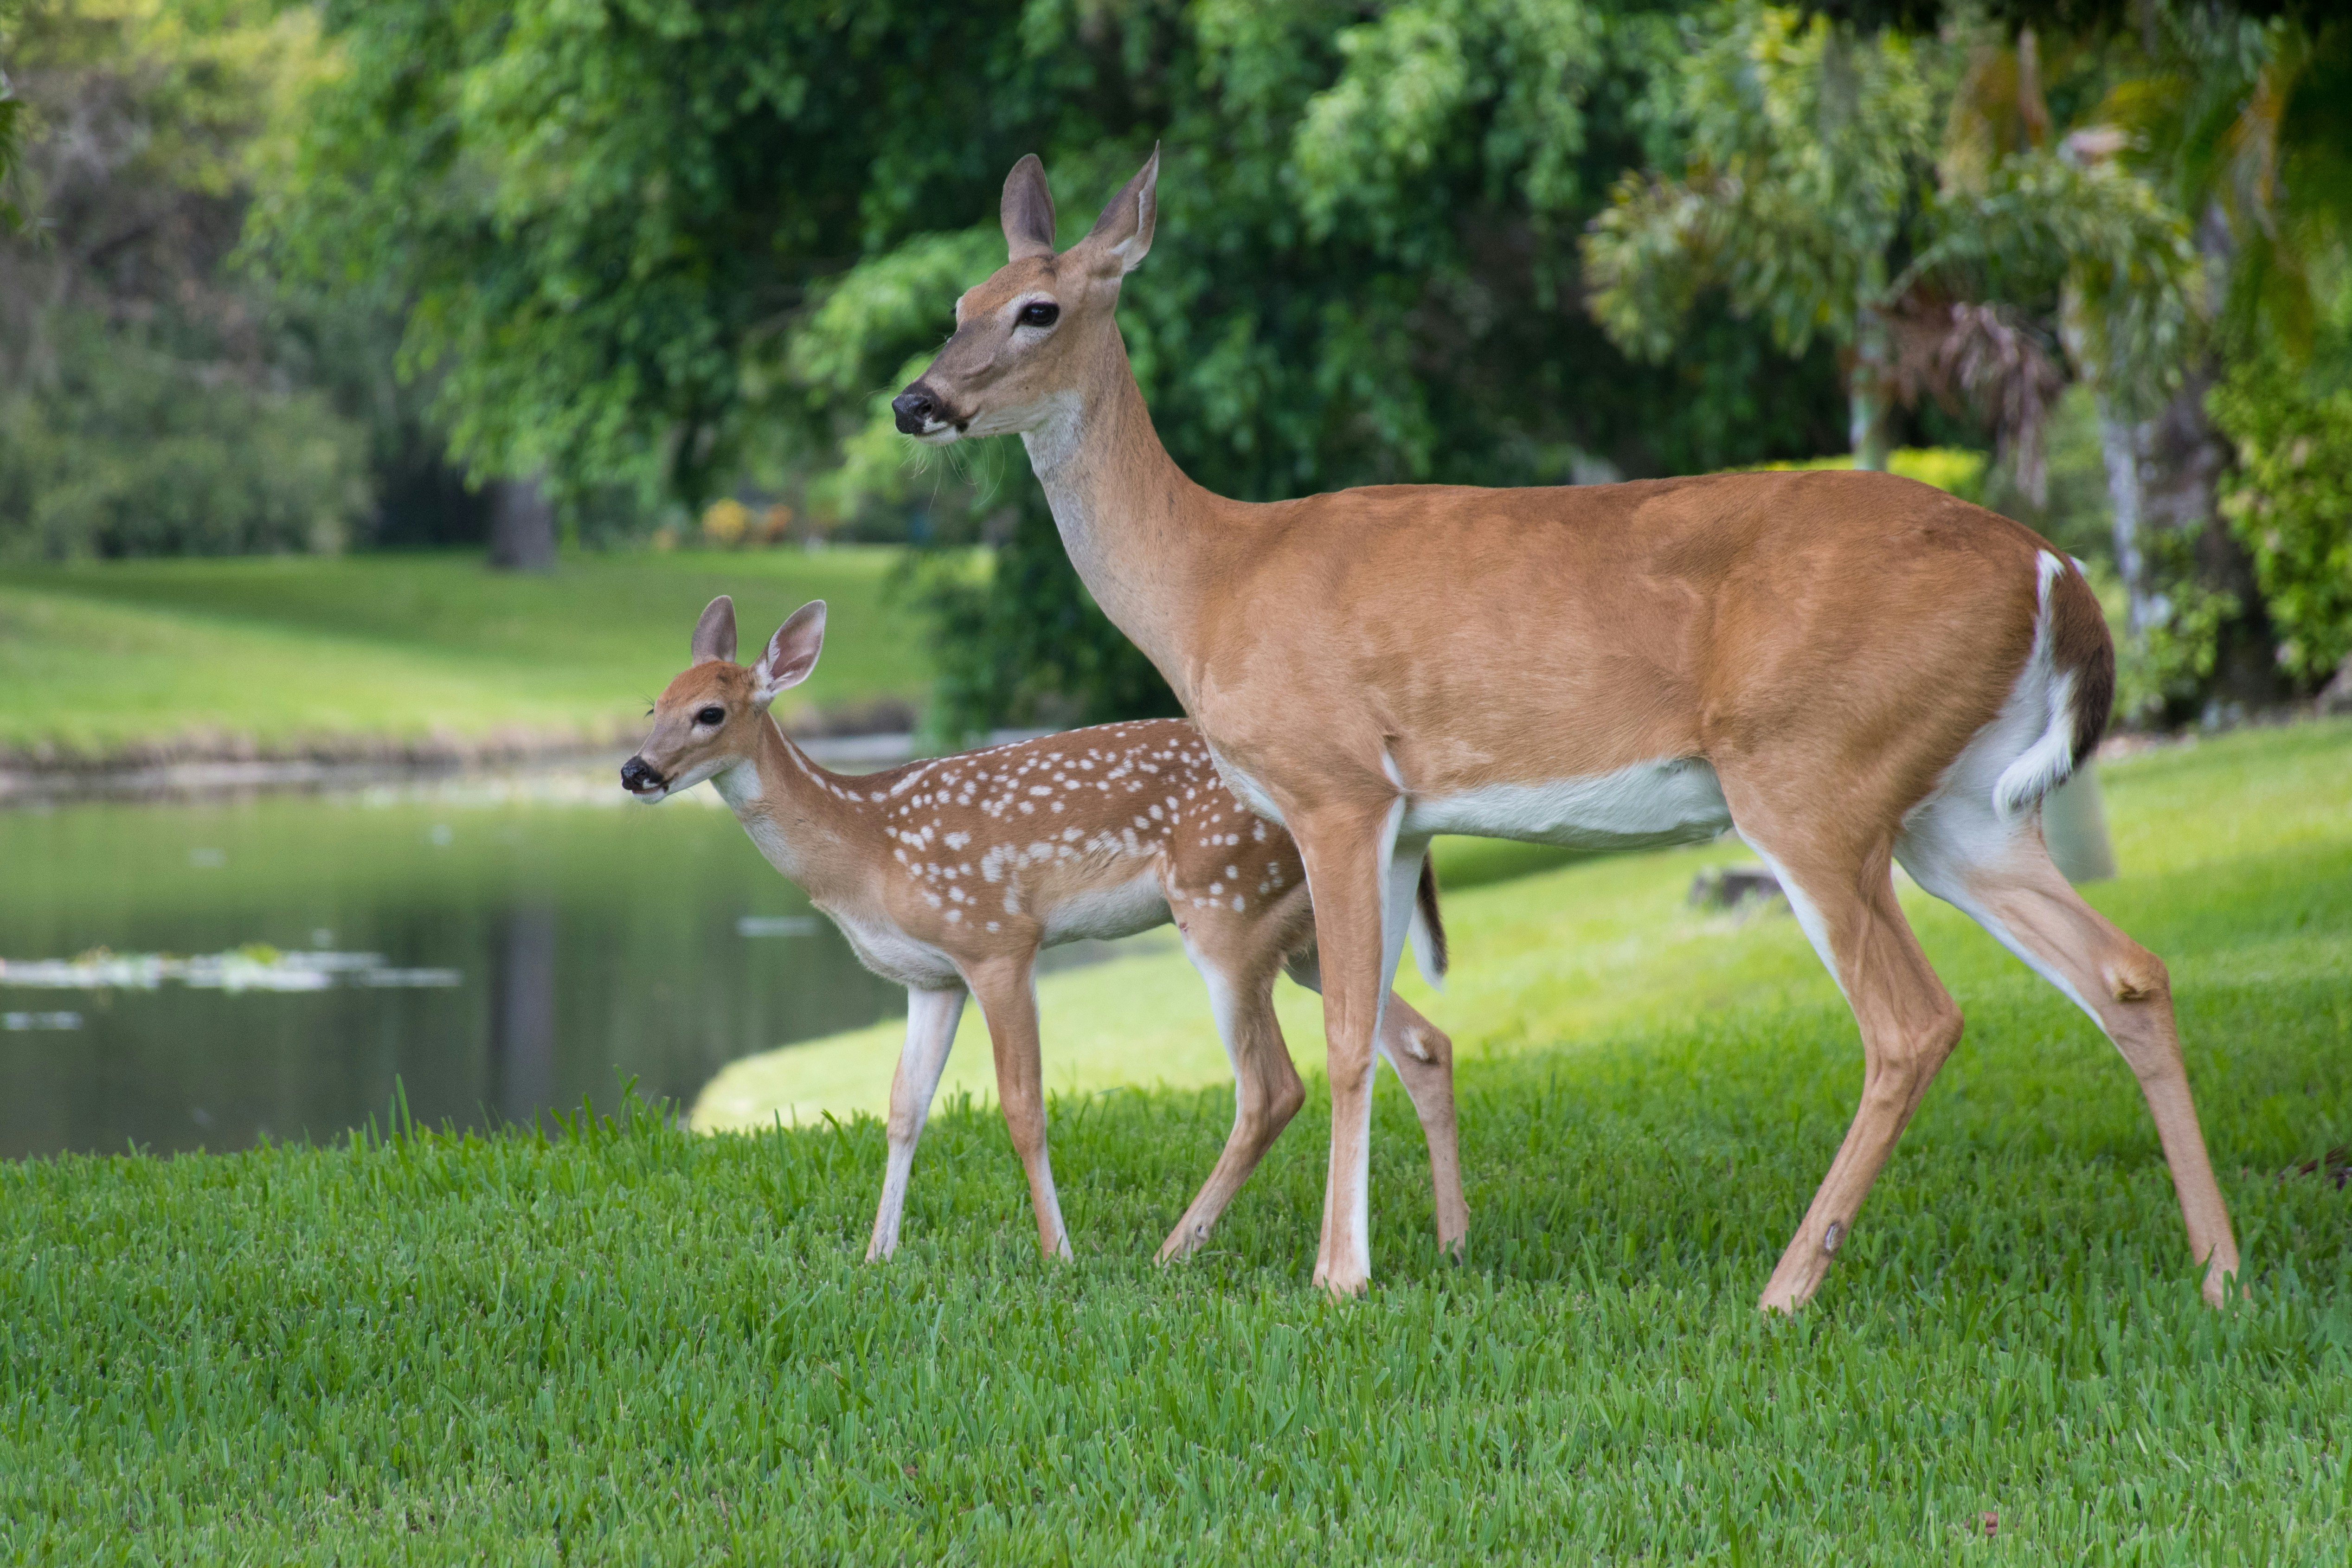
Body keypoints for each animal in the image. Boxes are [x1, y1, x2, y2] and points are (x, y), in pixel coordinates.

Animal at [620, 595, 1468, 1265]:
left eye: (711, 713)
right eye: (652, 707)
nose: (634, 772)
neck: (868, 846)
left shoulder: (996, 937)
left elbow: (1023, 1107)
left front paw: (1056, 1253)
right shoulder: (930, 977)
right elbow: (903, 1110)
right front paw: (876, 1255)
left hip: (1224, 908)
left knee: (1272, 1087)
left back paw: (1173, 1251)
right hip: (1298, 937)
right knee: (1419, 1042)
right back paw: (1453, 1241)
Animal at [886, 148, 2241, 1312]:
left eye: (1038, 309)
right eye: (958, 299)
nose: (915, 400)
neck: (1209, 578)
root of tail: (2056, 570)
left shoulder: (1333, 783)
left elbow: (1346, 1033)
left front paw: (1338, 1274)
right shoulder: (1402, 816)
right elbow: (1398, 1032)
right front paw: (1413, 1248)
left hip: (1811, 774)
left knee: (1912, 1021)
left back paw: (1785, 1286)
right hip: (1956, 804)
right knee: (2125, 969)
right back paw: (2215, 1266)